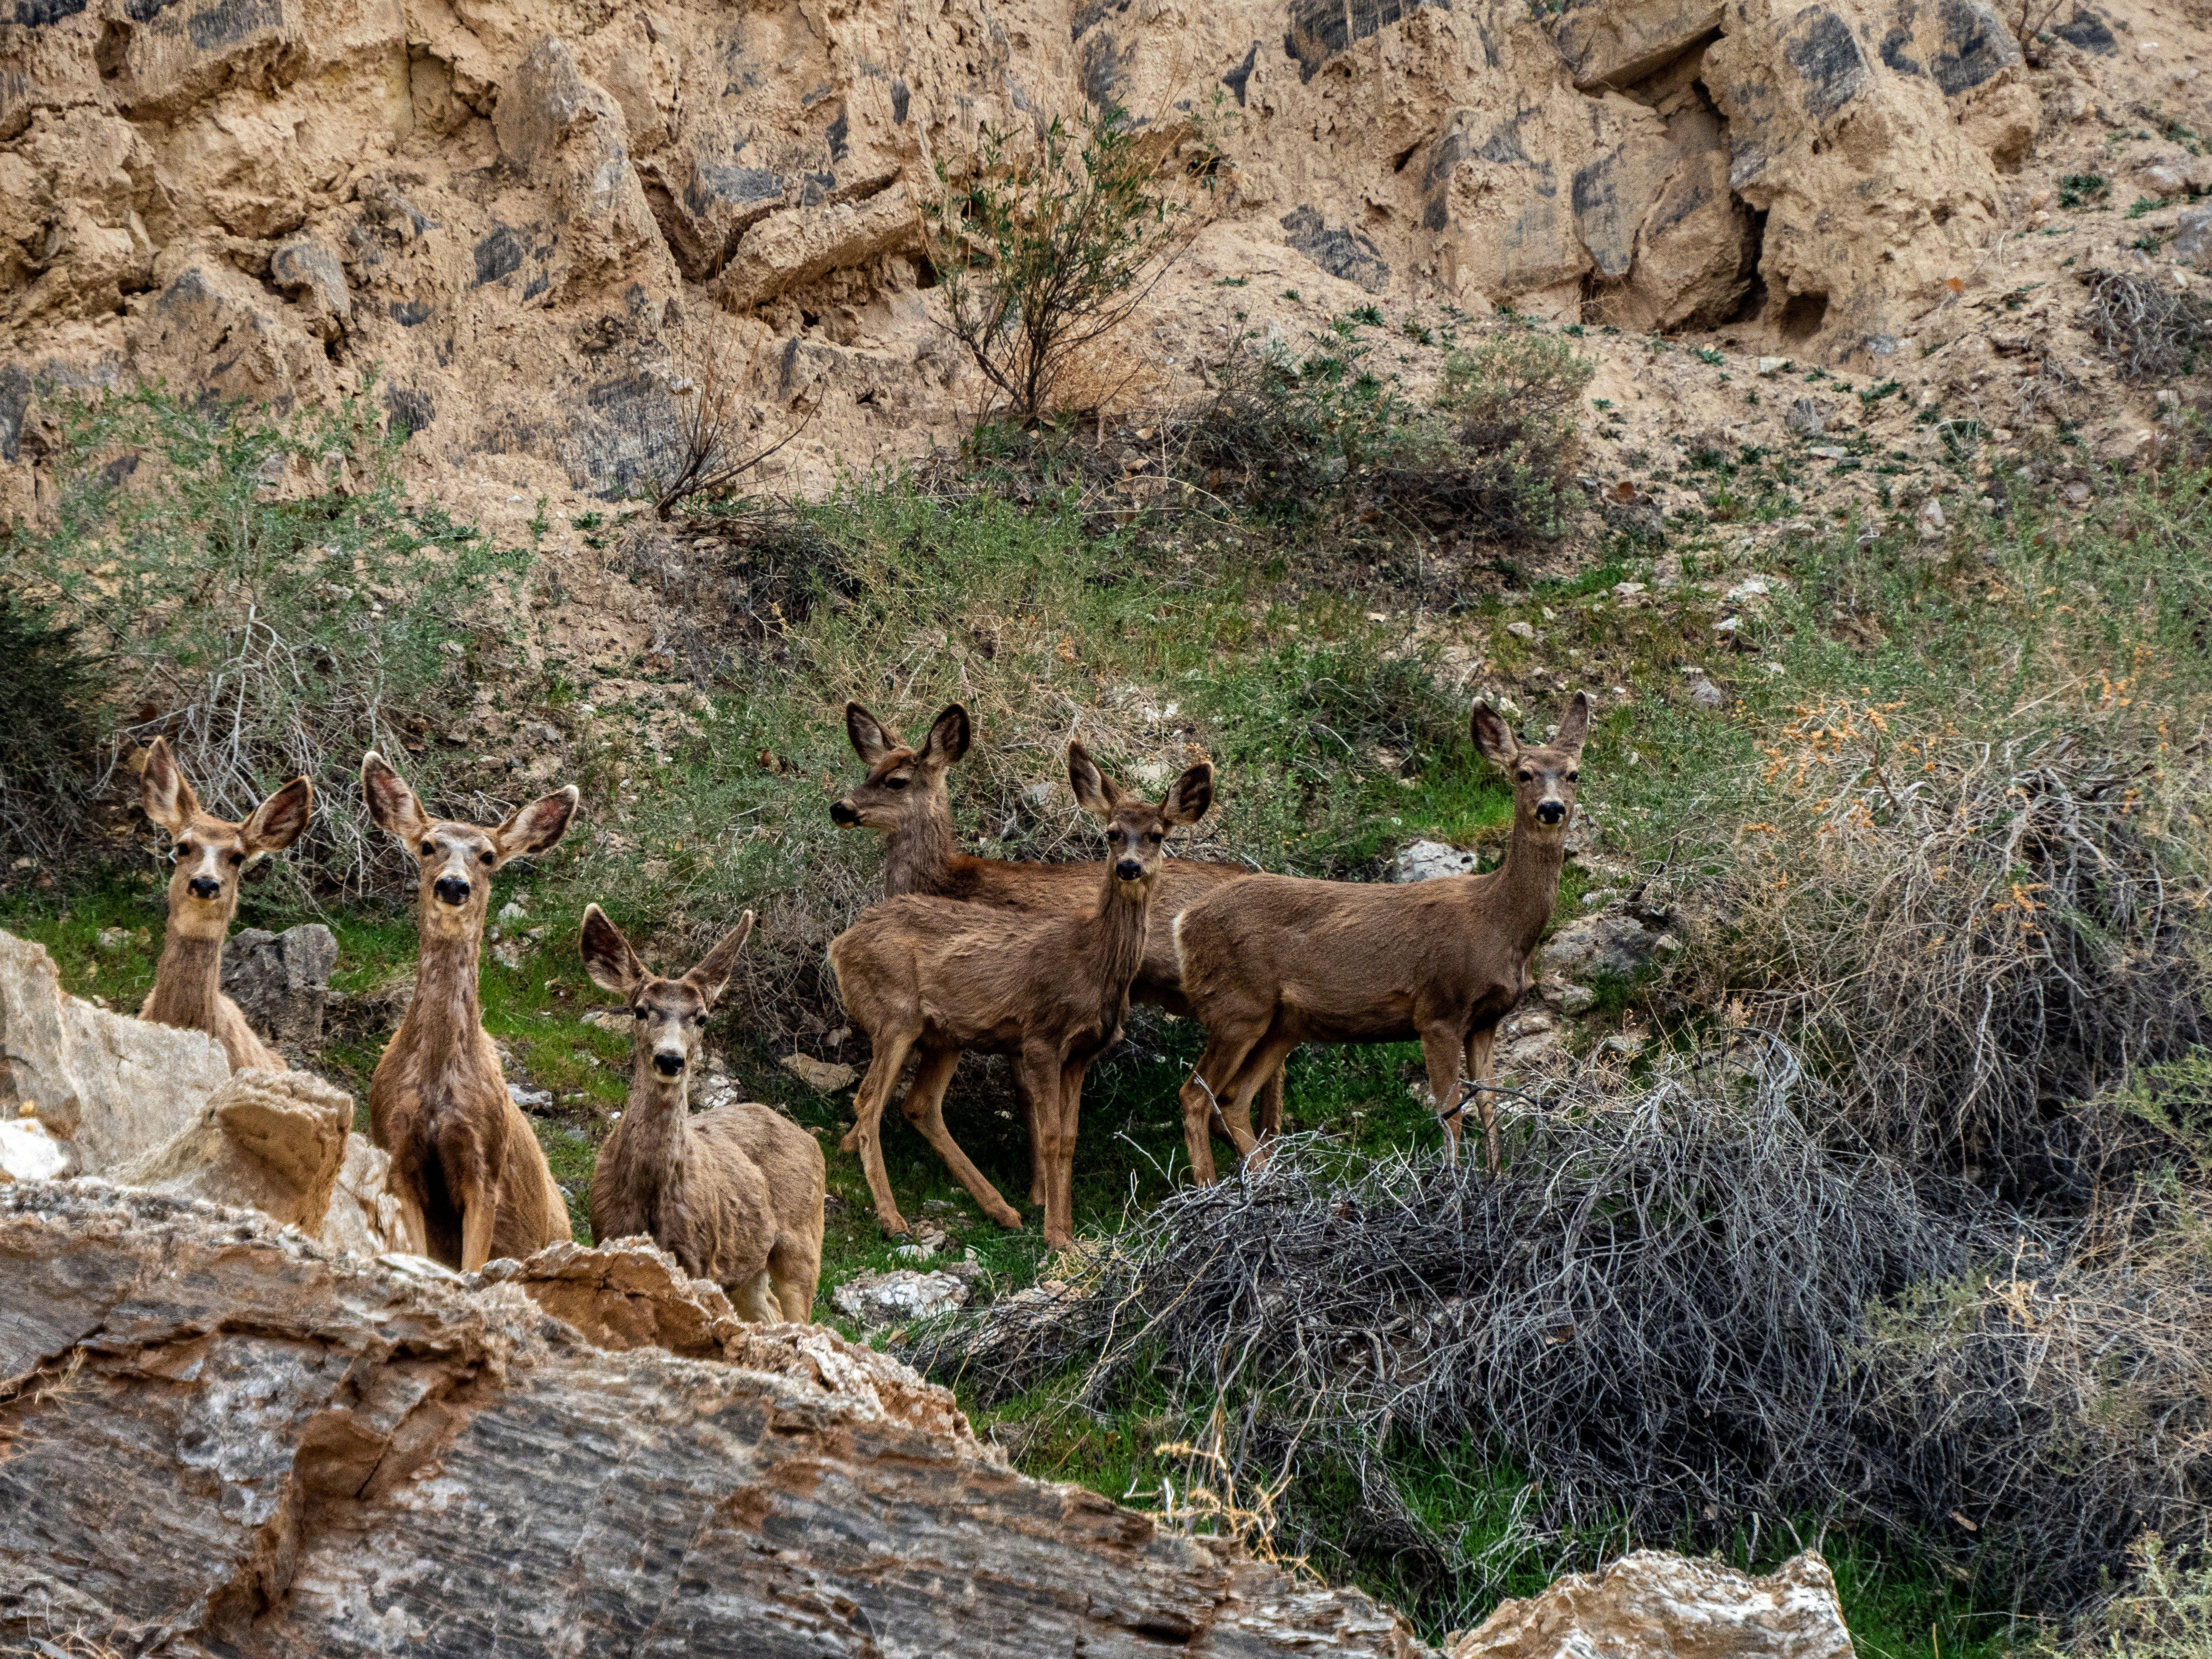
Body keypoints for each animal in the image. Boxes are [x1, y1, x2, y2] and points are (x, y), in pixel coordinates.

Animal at [362, 752, 579, 1271]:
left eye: (487, 856)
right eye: (427, 846)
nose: (453, 885)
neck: (438, 1085)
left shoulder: (487, 1166)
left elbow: (473, 1268)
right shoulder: (396, 1155)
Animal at [580, 906, 825, 1323]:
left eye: (702, 1017)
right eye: (640, 1010)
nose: (670, 1059)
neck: (650, 1197)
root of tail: (810, 1139)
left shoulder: (697, 1257)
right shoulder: (608, 1236)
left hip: (802, 1241)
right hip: (748, 1267)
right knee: (768, 1309)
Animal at [829, 744, 1212, 1249]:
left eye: (1156, 835)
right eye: (1111, 833)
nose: (1129, 867)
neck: (1093, 961)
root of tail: (839, 945)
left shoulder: (1083, 1051)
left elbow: (1068, 1138)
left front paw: (1066, 1230)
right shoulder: (1041, 1038)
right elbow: (1049, 1134)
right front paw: (1054, 1235)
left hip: (943, 1035)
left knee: (919, 1105)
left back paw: (1002, 1211)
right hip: (894, 1015)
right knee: (869, 1101)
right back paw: (894, 1219)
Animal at [831, 701, 1284, 1187]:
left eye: (896, 781)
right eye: (868, 770)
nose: (841, 807)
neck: (947, 882)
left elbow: (1027, 1094)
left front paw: (1038, 1190)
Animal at [1171, 692, 1592, 1178]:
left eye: (1573, 774)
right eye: (1523, 773)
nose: (1551, 808)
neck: (1499, 924)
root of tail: (1184, 922)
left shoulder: (1487, 1019)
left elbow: (1489, 1105)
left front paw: (1496, 1180)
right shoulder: (1439, 1010)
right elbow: (1451, 1112)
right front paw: (1452, 1183)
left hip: (1282, 1025)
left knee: (1233, 1101)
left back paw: (1269, 1184)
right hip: (1238, 1005)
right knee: (1195, 1095)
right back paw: (1209, 1187)